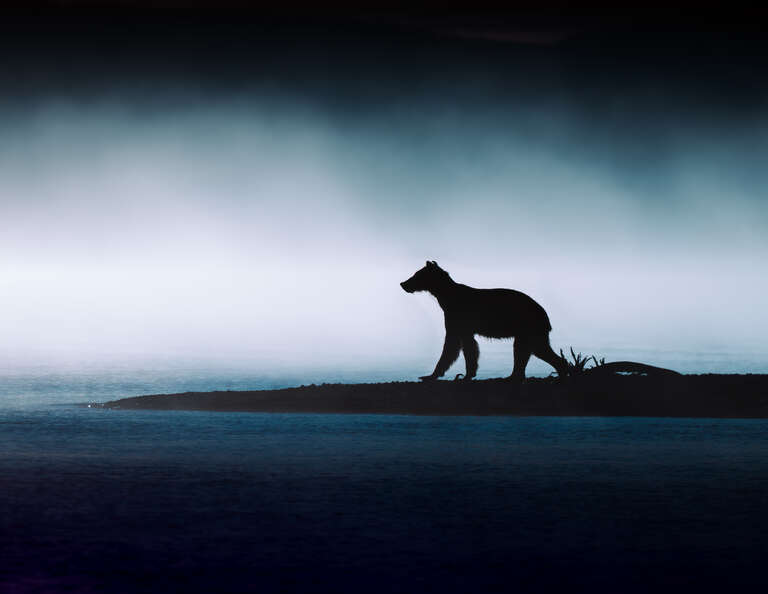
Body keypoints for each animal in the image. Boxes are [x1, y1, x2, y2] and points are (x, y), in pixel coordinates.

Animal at [400, 261, 568, 382]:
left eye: (417, 274)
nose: (403, 284)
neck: (445, 297)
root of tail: (545, 314)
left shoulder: (458, 318)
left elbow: (454, 346)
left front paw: (435, 375)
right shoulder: (460, 324)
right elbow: (465, 346)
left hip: (528, 325)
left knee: (530, 349)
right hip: (528, 330)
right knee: (530, 350)